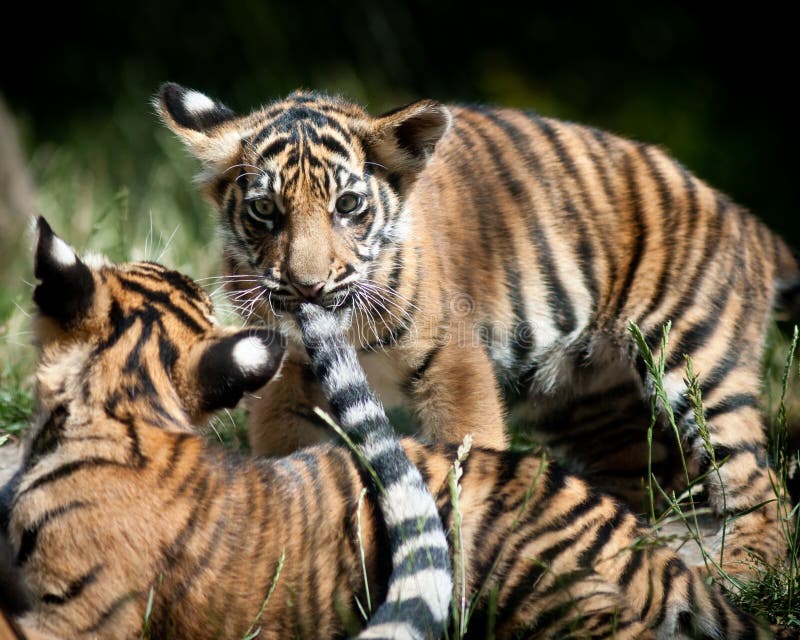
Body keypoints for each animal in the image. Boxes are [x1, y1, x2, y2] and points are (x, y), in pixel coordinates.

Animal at [157, 82, 800, 577]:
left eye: (348, 206)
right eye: (265, 211)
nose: (309, 287)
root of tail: (747, 219)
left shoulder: (453, 362)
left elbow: (469, 456)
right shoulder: (289, 381)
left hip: (693, 358)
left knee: (760, 488)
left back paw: (735, 576)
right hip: (588, 405)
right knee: (656, 480)